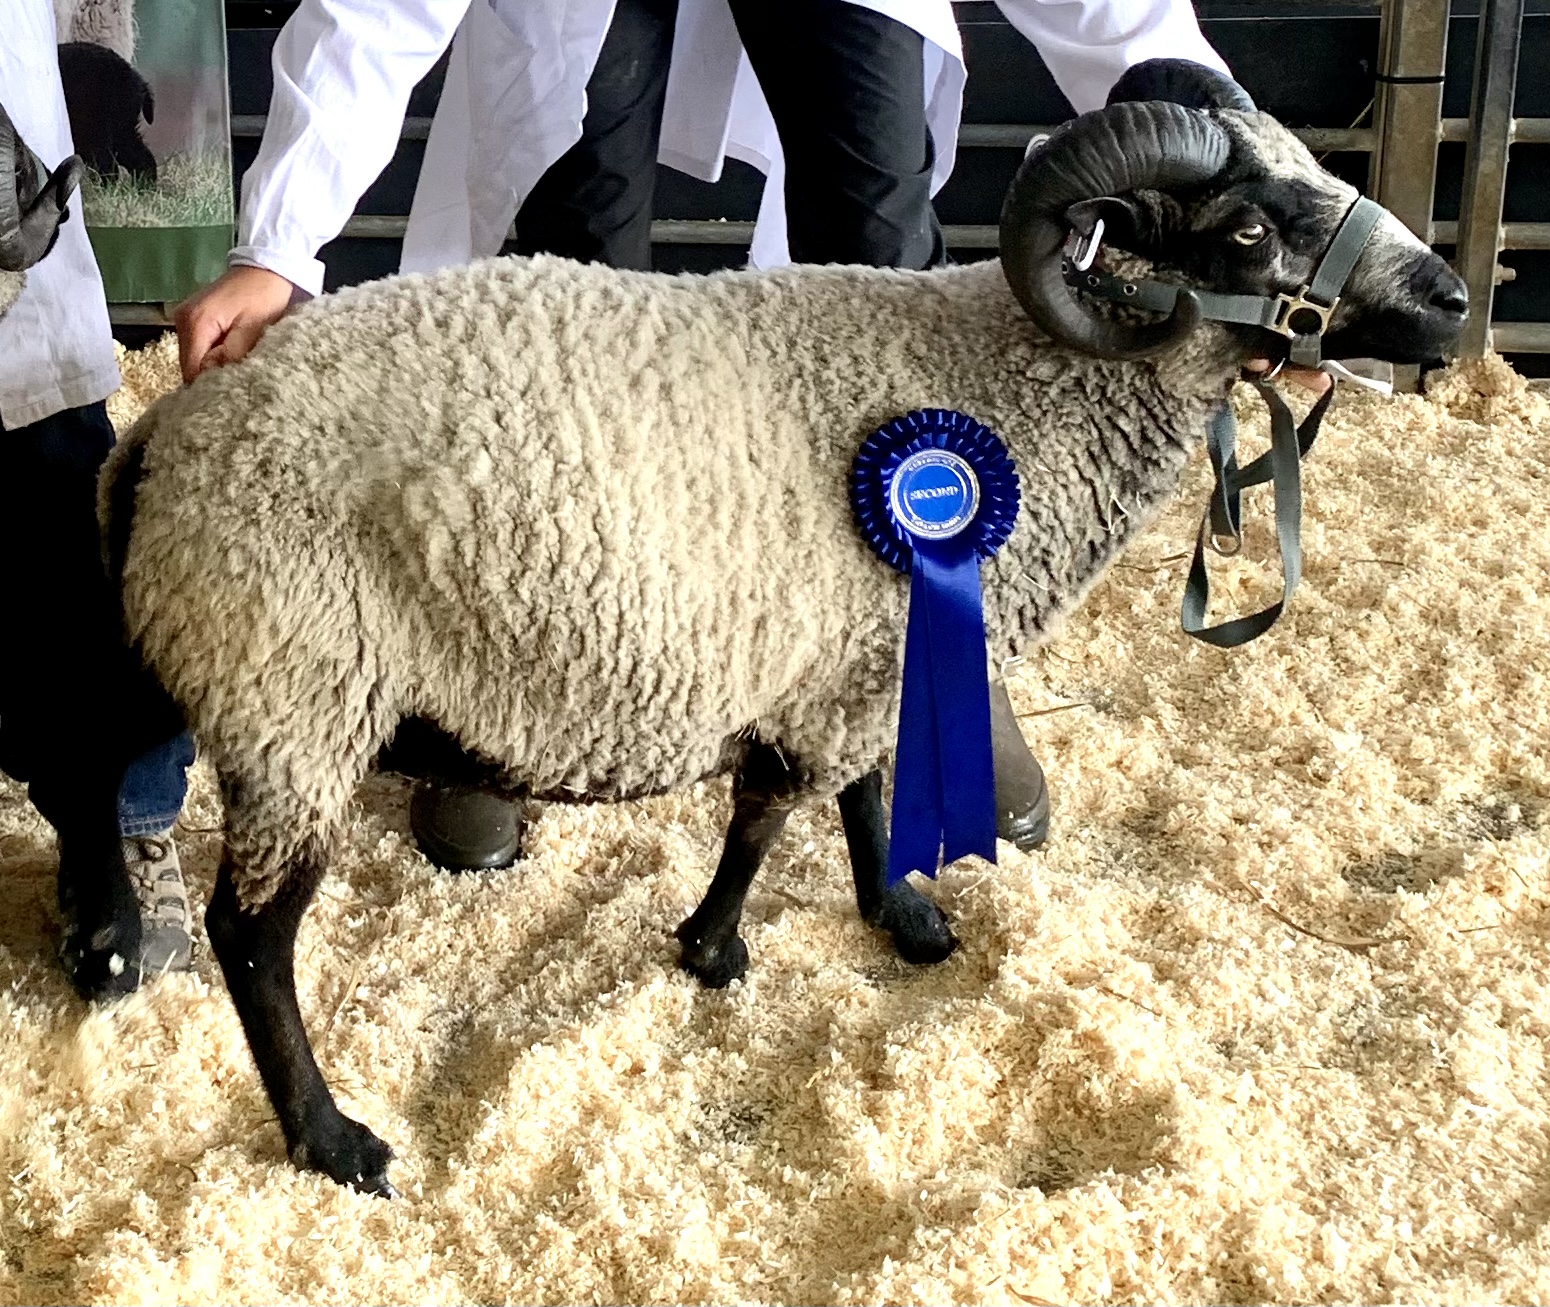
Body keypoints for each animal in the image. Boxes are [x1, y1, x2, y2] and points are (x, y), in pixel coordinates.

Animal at [102, 63, 1466, 1195]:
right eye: (1247, 227)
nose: (1452, 297)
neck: (1009, 384)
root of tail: (175, 430)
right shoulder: (826, 668)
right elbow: (767, 813)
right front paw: (712, 946)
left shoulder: (876, 645)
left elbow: (860, 794)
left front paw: (897, 915)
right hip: (297, 702)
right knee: (251, 940)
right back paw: (332, 1138)